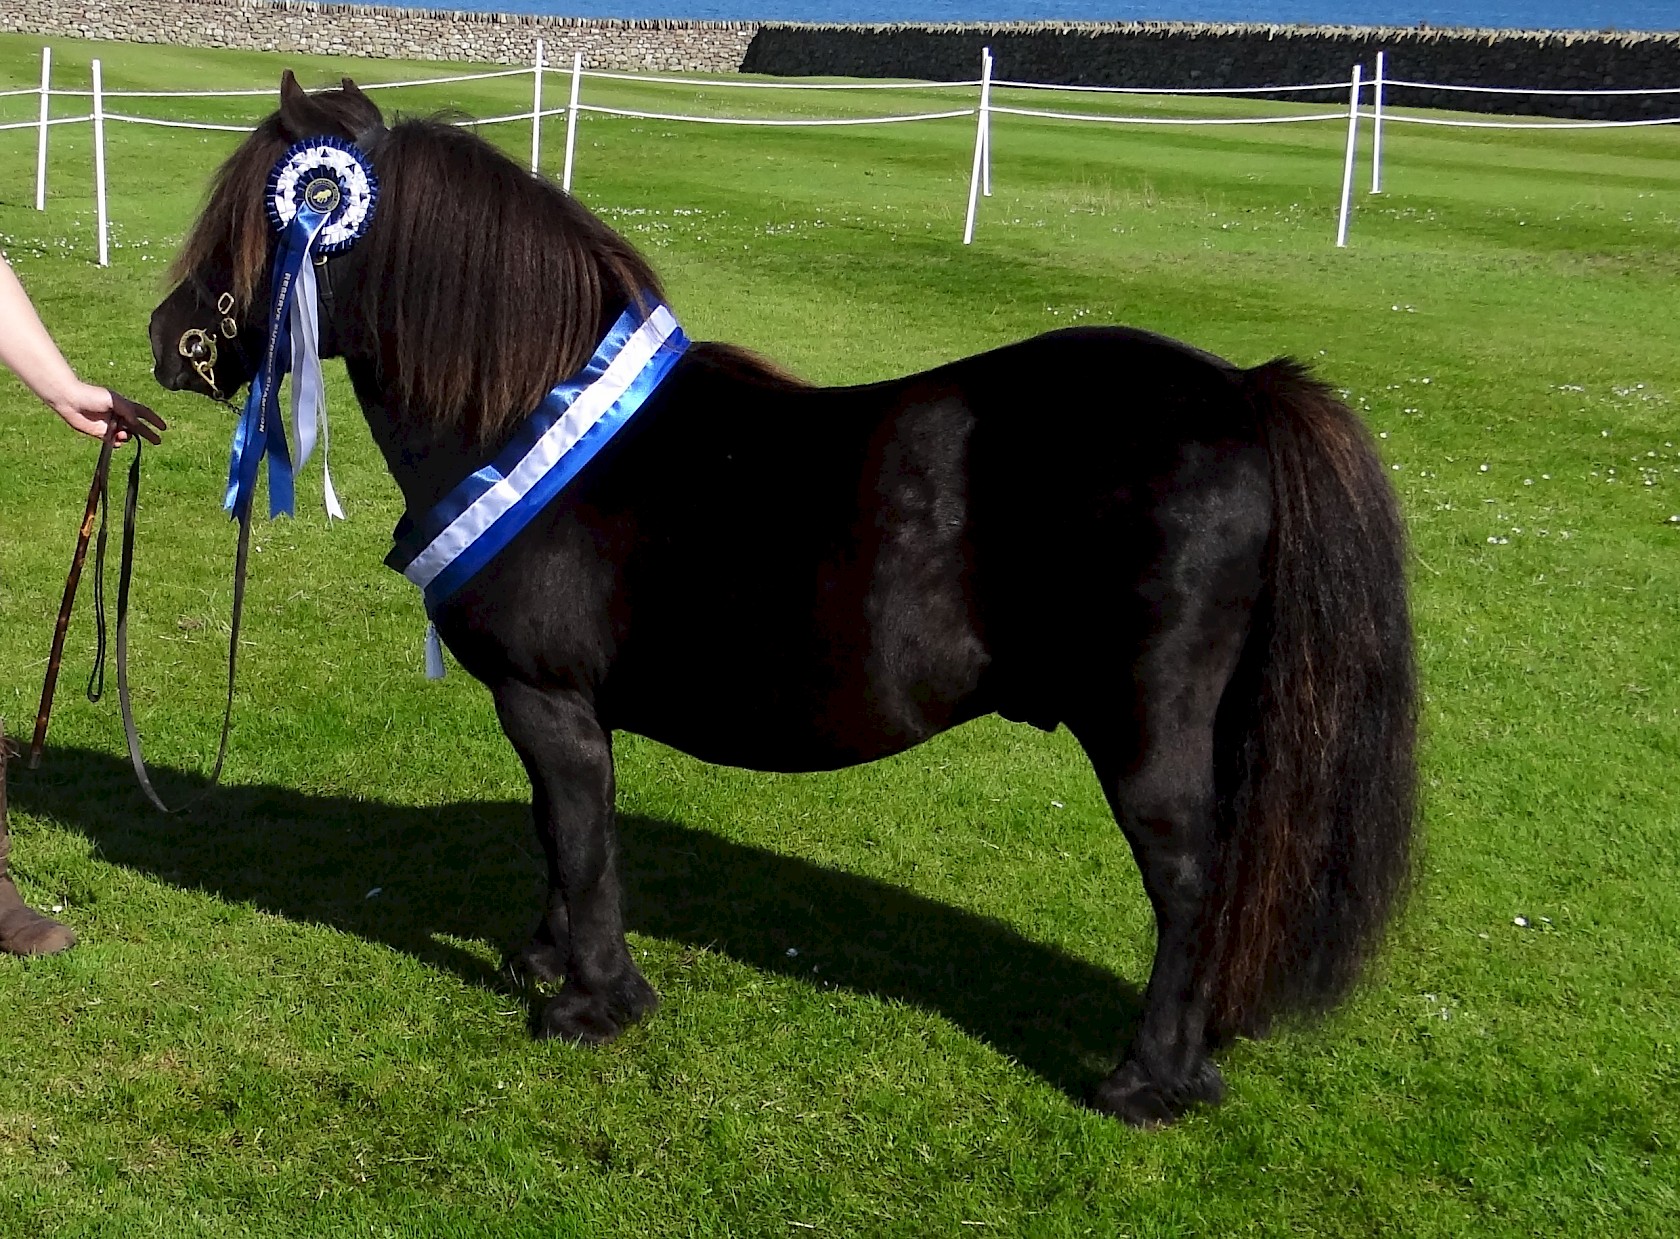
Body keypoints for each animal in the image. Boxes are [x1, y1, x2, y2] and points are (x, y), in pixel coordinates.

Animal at [148, 74, 1416, 1127]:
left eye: (262, 223)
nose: (171, 343)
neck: (529, 417)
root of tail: (1240, 394)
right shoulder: (556, 710)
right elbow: (562, 836)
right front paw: (548, 962)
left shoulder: (547, 700)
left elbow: (580, 835)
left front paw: (594, 1003)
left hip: (1146, 732)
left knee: (1188, 880)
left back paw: (1146, 1082)